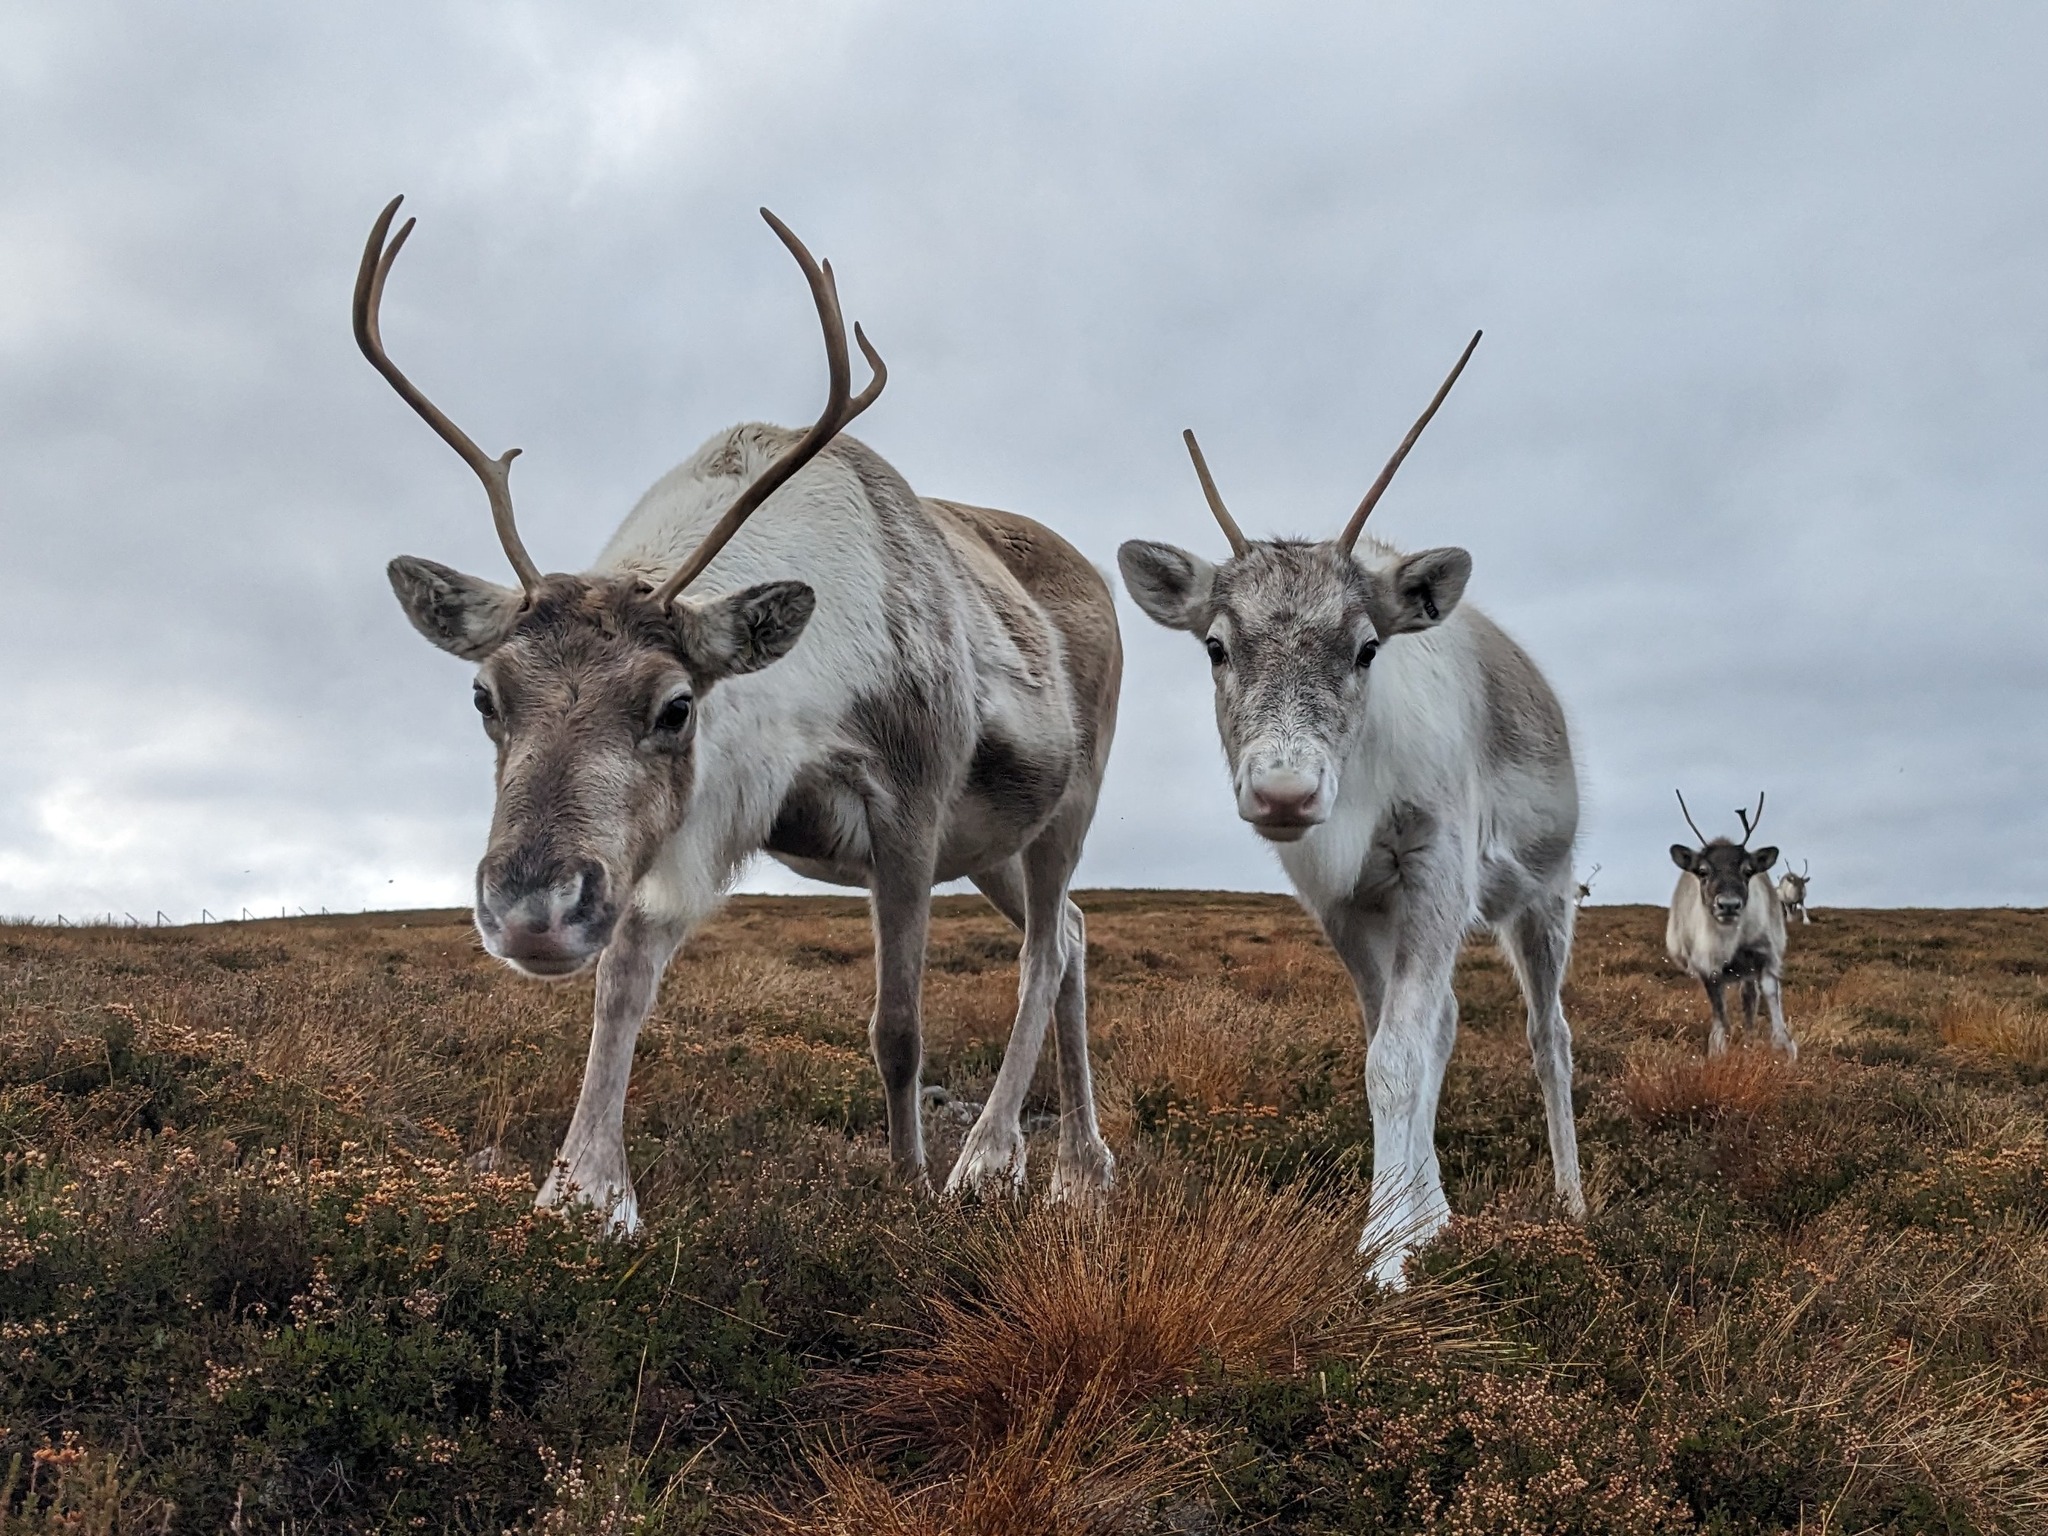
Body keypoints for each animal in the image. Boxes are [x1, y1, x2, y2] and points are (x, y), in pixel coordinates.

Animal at [354, 197, 1122, 1229]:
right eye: (485, 695)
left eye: (676, 707)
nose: (530, 915)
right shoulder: (697, 820)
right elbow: (621, 986)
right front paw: (585, 1189)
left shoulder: (910, 807)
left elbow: (898, 1026)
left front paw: (907, 1184)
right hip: (993, 846)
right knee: (1072, 934)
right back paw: (1082, 1169)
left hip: (1066, 804)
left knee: (1043, 953)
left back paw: (991, 1159)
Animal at [1117, 333, 1585, 1289]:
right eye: (1215, 646)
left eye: (1368, 647)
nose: (1284, 793)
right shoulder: (1346, 902)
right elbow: (1394, 1045)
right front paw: (1416, 1223)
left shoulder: (1436, 871)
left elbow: (1396, 1060)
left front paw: (1385, 1255)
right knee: (1447, 1024)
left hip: (1544, 896)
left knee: (1547, 1035)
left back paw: (1571, 1202)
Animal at [1666, 792, 1794, 1058]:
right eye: (1702, 871)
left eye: (1748, 871)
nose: (1728, 905)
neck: (1727, 943)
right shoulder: (1707, 969)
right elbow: (1720, 1018)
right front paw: (1718, 1052)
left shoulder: (1765, 955)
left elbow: (1771, 1000)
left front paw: (1784, 1050)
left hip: (1748, 970)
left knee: (1749, 998)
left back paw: (1750, 1037)